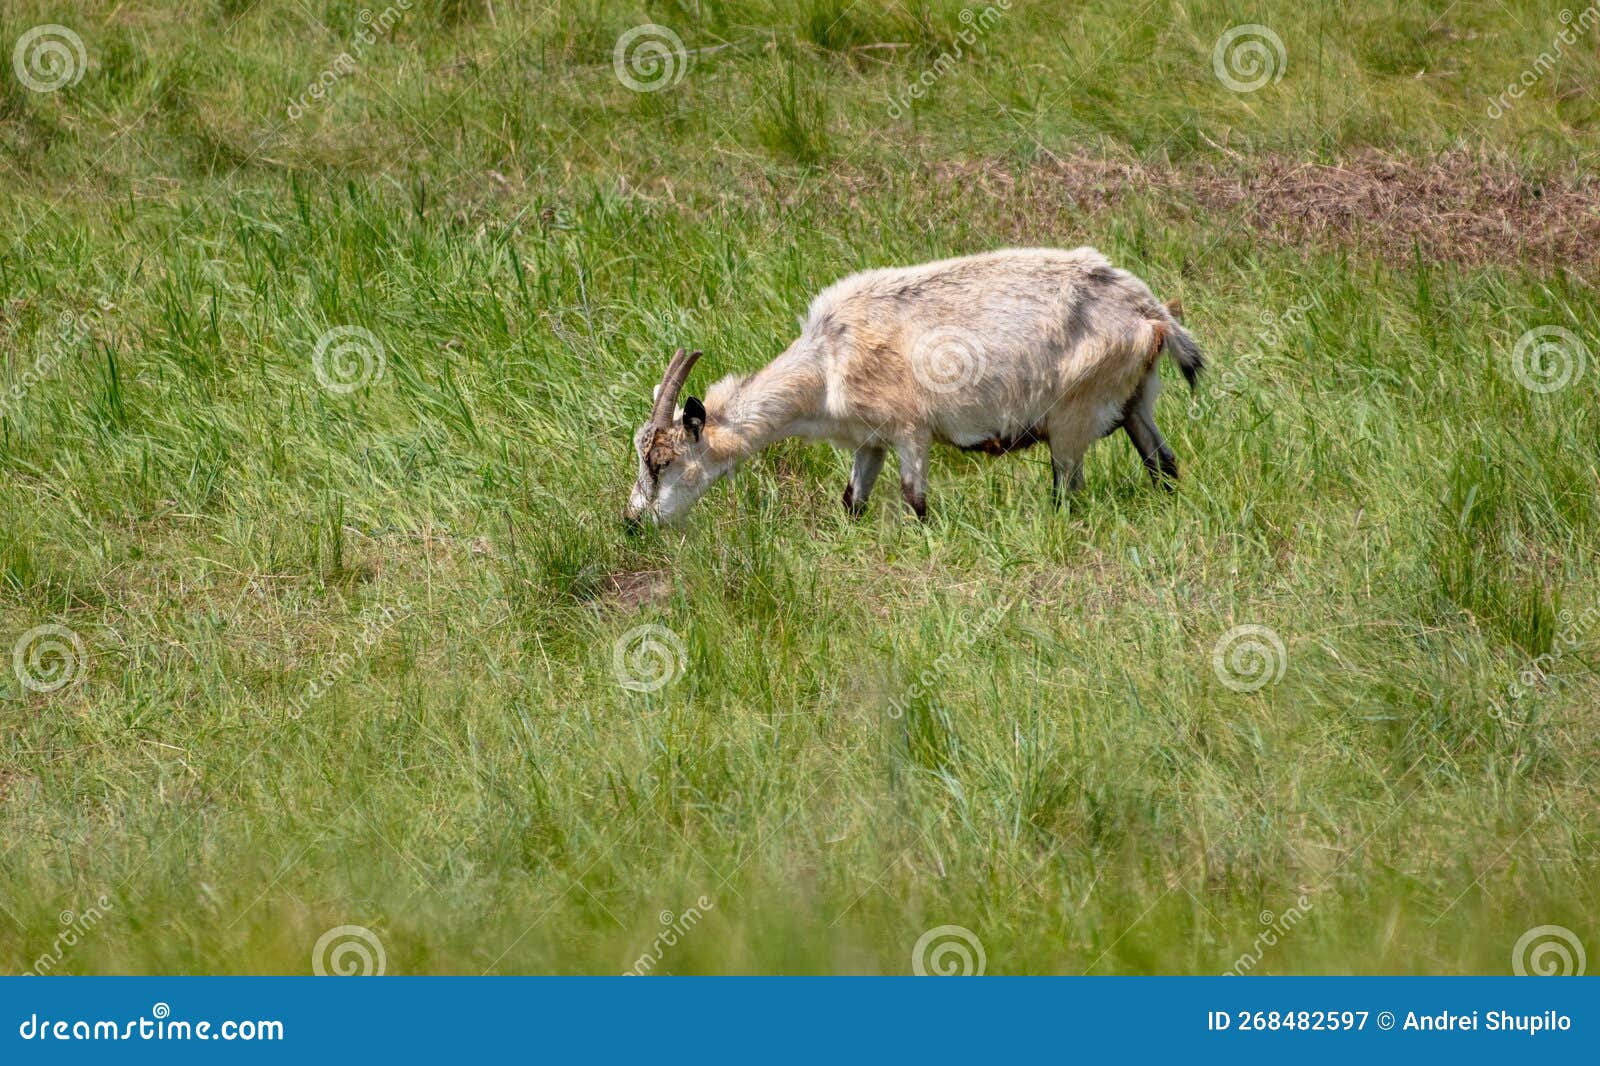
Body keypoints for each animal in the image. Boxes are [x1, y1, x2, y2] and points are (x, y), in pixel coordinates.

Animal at [624, 247, 1203, 526]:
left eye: (662, 461)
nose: (632, 522)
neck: (828, 361)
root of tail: (1149, 314)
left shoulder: (910, 430)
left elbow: (915, 500)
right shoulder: (870, 441)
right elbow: (852, 500)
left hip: (1071, 416)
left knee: (1068, 488)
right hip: (1136, 402)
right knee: (1163, 463)